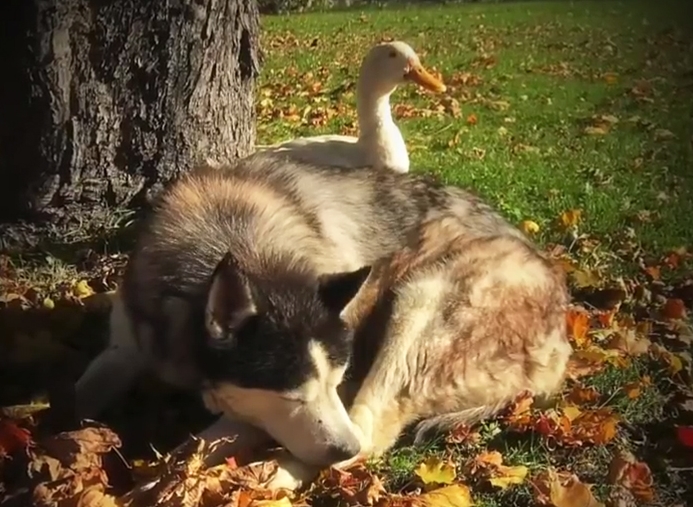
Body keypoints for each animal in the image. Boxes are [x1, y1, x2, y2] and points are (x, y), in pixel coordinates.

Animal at [73, 151, 529, 469]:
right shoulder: (126, 345)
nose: (344, 448)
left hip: (420, 298)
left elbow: (188, 453)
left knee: (372, 430)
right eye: (292, 396)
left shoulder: (248, 413)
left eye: (337, 381)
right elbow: (72, 400)